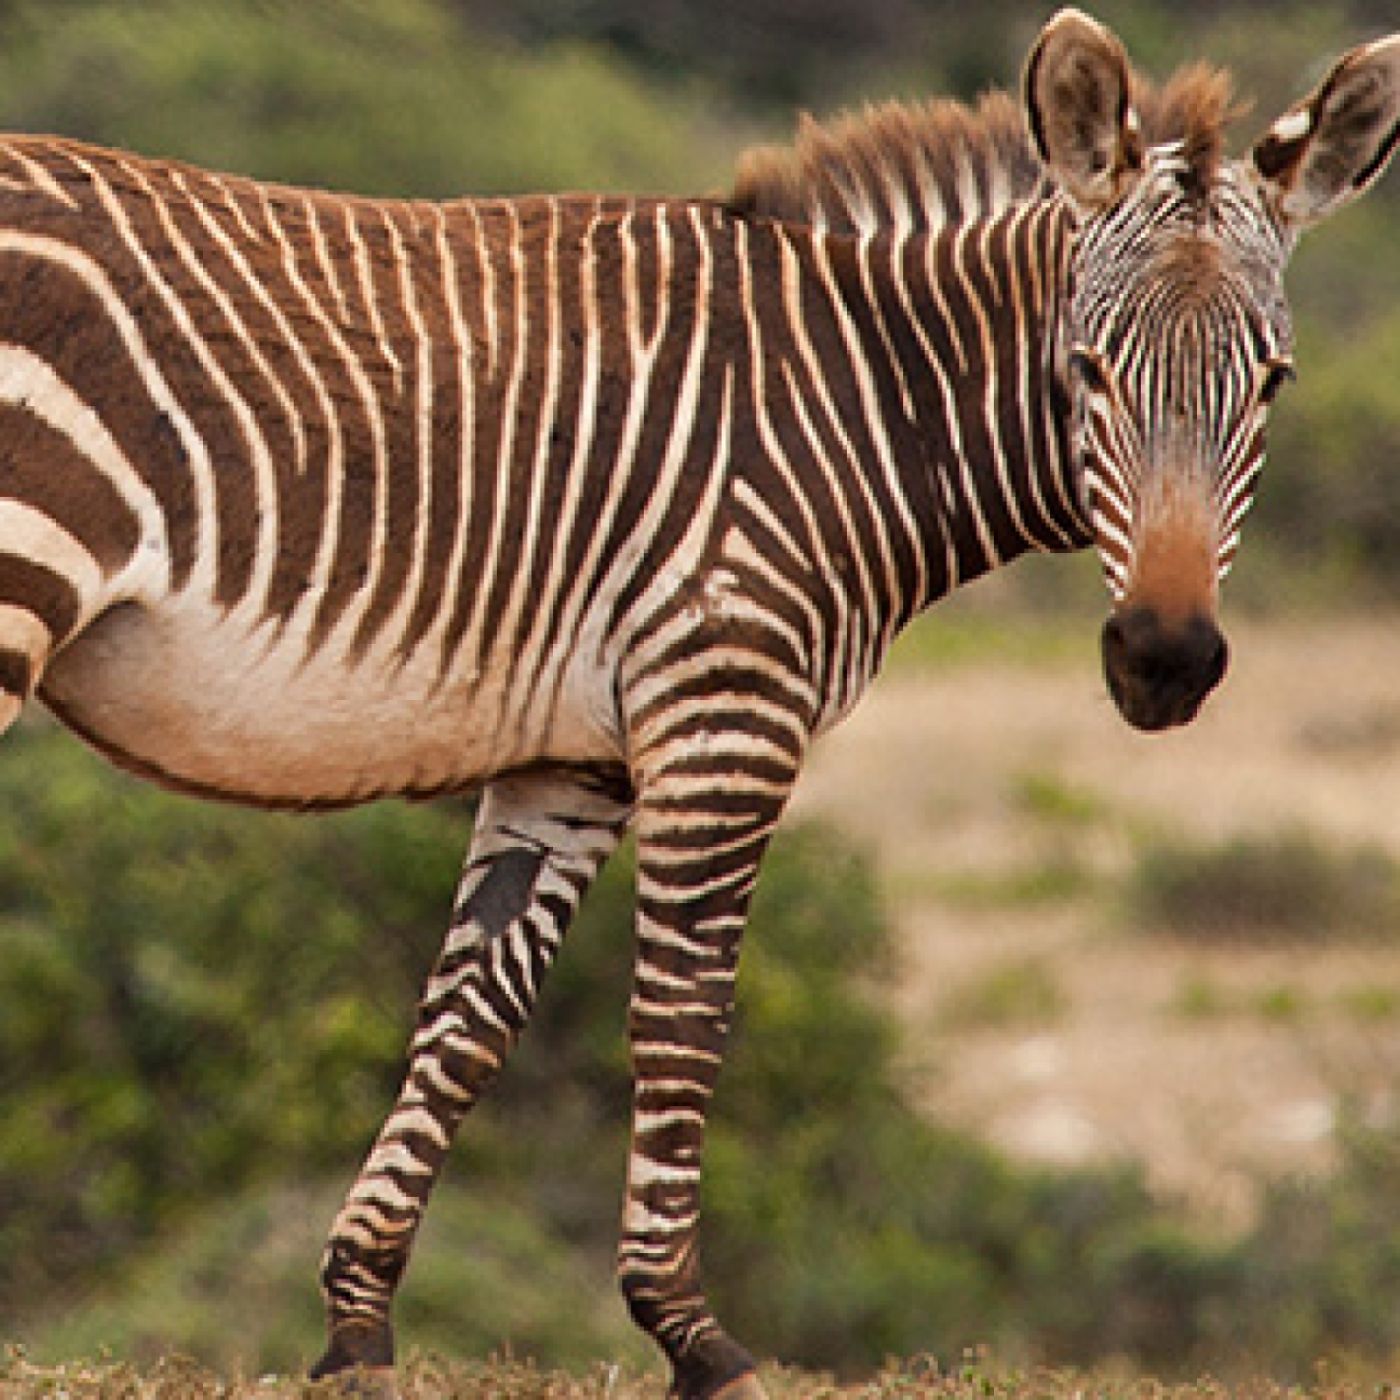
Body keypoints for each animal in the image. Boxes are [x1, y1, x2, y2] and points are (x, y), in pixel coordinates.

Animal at [0, 6, 1396, 1396]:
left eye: (1270, 382)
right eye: (1087, 369)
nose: (1163, 657)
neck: (860, 403)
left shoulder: (574, 759)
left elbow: (468, 1019)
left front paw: (354, 1324)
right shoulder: (726, 697)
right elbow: (684, 1015)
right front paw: (691, 1334)